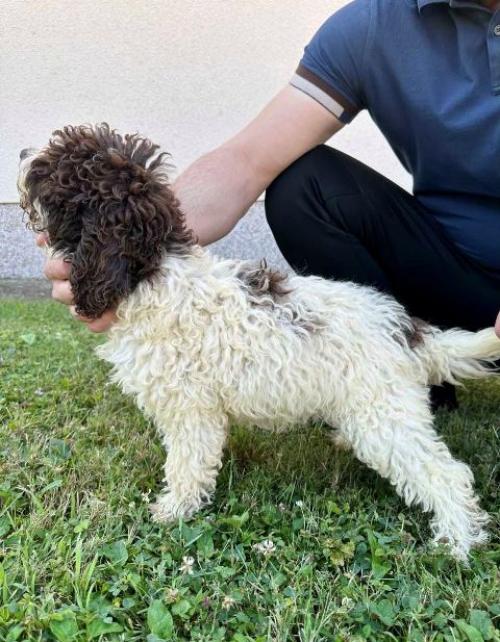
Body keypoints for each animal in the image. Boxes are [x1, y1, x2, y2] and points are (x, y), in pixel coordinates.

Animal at [17, 122, 498, 556]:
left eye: (52, 170)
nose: (21, 152)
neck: (152, 271)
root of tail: (406, 330)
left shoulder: (190, 409)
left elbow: (188, 462)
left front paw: (174, 510)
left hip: (384, 414)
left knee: (446, 473)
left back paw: (457, 540)